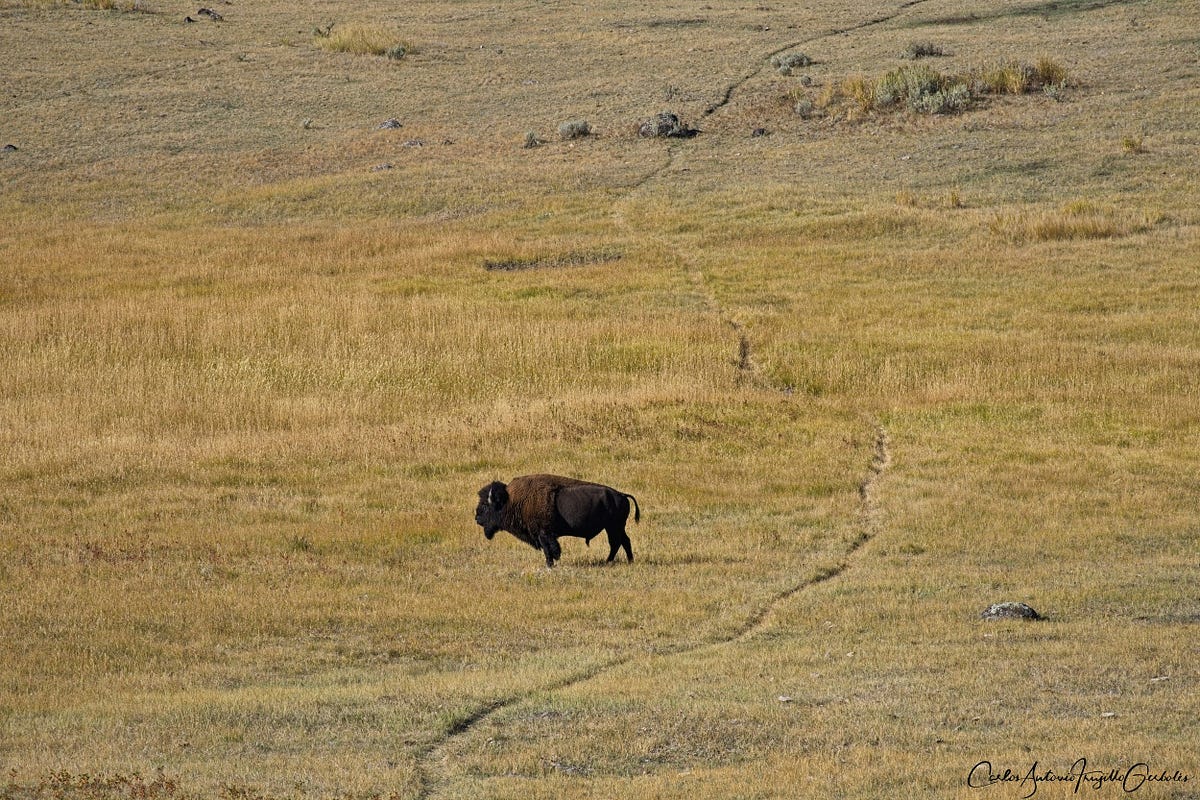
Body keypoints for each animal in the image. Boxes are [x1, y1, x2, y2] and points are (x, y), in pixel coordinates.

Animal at [475, 474, 641, 567]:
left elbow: (549, 549)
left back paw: (613, 561)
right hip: (614, 527)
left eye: (484, 505)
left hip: (614, 527)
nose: (477, 518)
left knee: (617, 542)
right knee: (623, 541)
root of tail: (622, 495)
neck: (511, 501)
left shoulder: (544, 534)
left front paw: (550, 564)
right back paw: (626, 561)